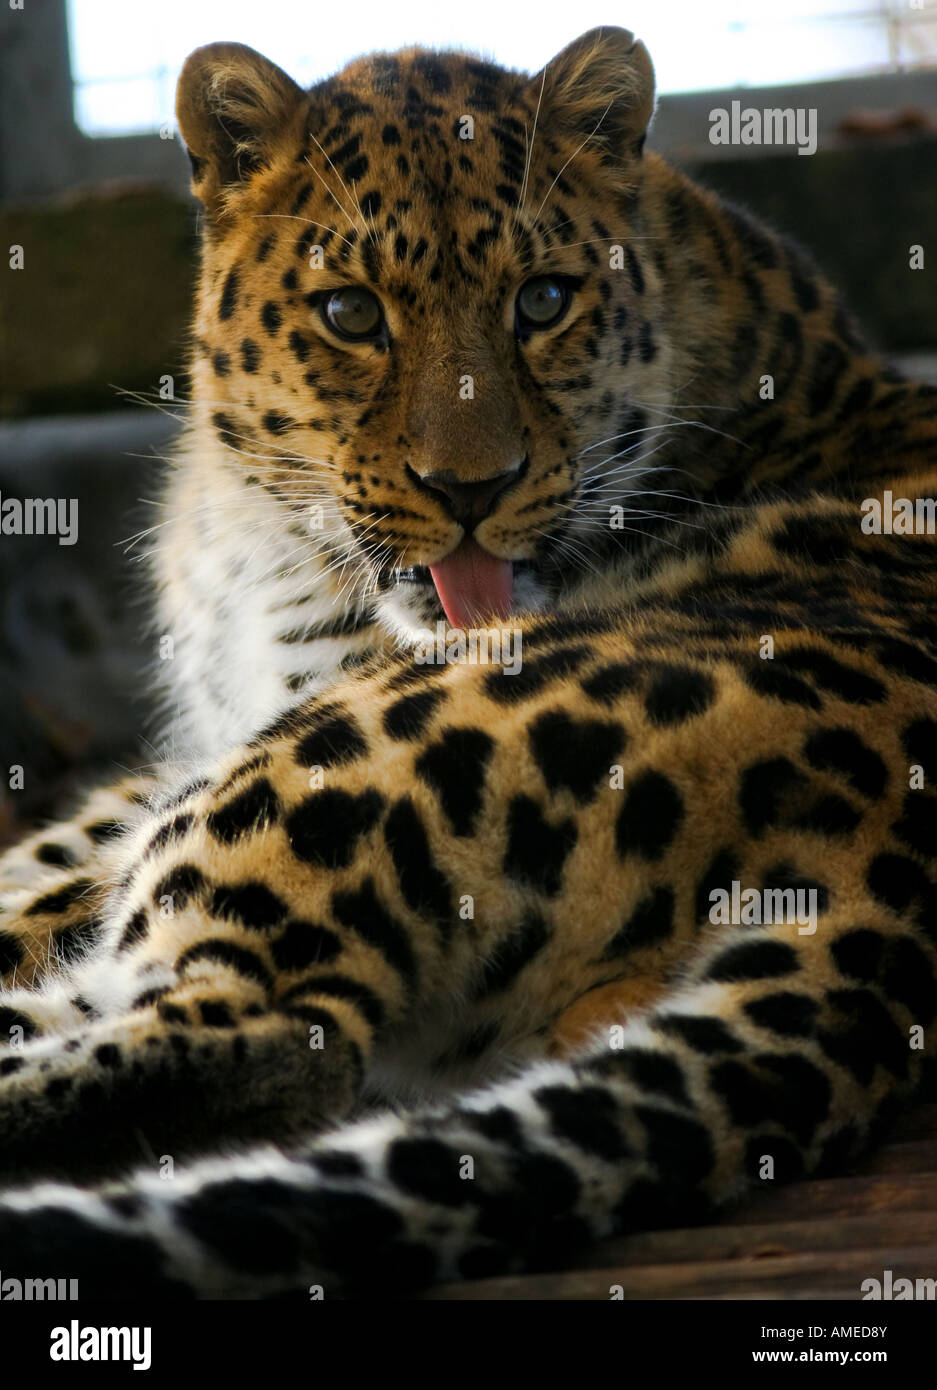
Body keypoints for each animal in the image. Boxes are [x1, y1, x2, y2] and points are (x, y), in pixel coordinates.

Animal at [0, 26, 935, 1299]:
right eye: (351, 312)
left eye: (542, 300)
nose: (470, 491)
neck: (261, 533)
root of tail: (891, 885)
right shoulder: (180, 753)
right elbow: (42, 852)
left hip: (303, 786)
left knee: (261, 1029)